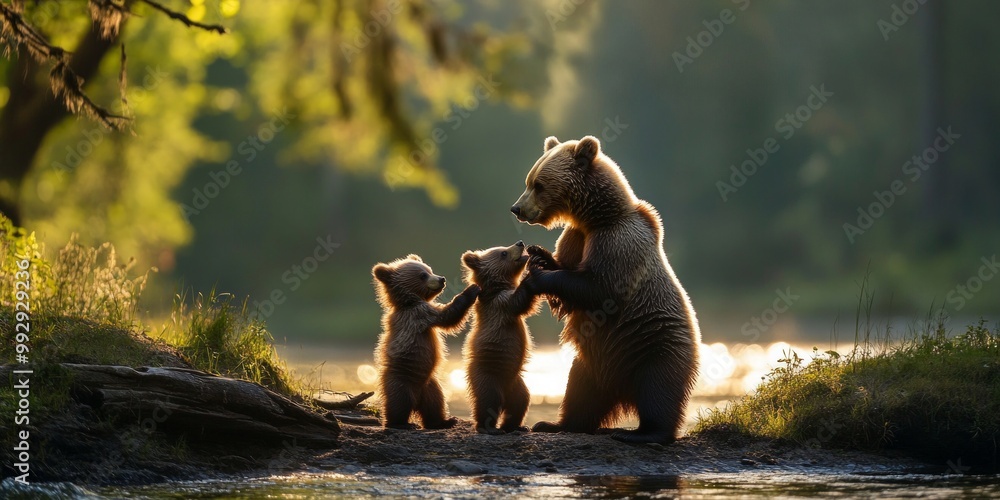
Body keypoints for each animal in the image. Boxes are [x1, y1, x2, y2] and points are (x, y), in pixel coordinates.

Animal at [372, 254, 480, 430]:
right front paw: (471, 290)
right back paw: (400, 424)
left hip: (430, 385)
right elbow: (447, 316)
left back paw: (444, 421)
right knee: (398, 403)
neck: (408, 303)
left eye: (430, 270)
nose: (441, 279)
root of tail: (416, 399)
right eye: (423, 275)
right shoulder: (420, 315)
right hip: (401, 380)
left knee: (435, 404)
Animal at [460, 240, 541, 434]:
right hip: (488, 375)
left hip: (516, 383)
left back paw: (517, 426)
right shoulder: (500, 305)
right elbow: (519, 302)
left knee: (521, 402)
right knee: (488, 401)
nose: (520, 243)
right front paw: (532, 270)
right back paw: (488, 428)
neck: (497, 287)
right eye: (503, 253)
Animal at [510, 135, 701, 444]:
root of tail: (621, 391)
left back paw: (644, 433)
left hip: (656, 346)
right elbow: (568, 273)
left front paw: (539, 275)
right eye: (529, 180)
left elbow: (598, 288)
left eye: (538, 184)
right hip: (592, 361)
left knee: (659, 391)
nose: (517, 209)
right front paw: (539, 254)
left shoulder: (618, 242)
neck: (595, 219)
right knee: (579, 392)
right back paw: (554, 424)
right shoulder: (575, 237)